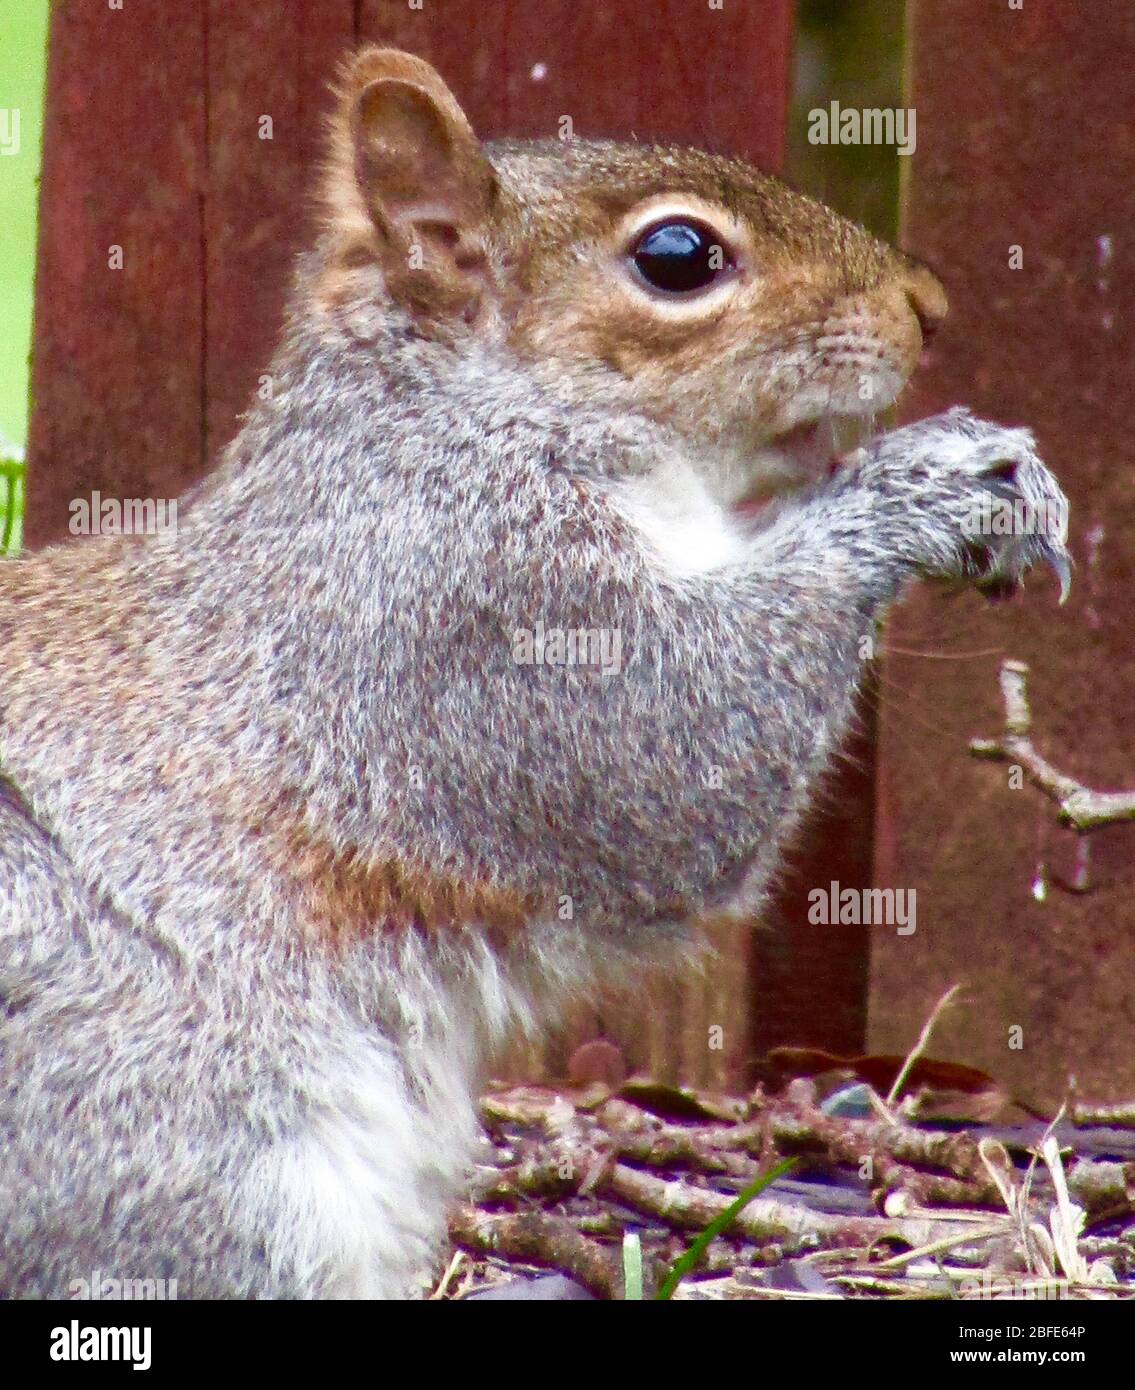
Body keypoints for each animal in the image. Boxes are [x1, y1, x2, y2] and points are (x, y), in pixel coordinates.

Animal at [0, 48, 1069, 1298]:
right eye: (677, 257)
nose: (926, 308)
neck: (461, 424)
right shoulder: (477, 613)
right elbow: (678, 753)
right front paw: (926, 482)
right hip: (183, 1131)